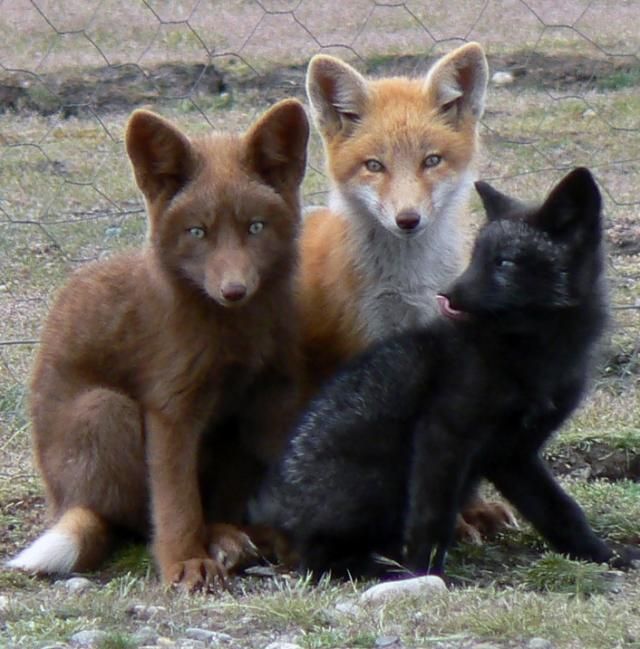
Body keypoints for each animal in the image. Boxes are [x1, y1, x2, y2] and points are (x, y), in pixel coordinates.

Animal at [7, 99, 309, 591]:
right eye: (197, 232)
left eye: (255, 227)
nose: (234, 290)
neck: (231, 334)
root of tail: (65, 503)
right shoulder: (170, 406)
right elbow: (175, 502)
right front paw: (184, 564)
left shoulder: (266, 397)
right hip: (106, 410)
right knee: (131, 522)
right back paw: (216, 543)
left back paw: (236, 537)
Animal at [254, 168, 640, 578]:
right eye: (475, 258)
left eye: (504, 263)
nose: (447, 295)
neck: (535, 356)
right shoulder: (444, 433)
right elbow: (430, 516)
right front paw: (424, 574)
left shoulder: (514, 454)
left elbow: (561, 512)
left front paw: (603, 555)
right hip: (378, 480)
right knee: (315, 561)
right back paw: (378, 568)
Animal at [298, 43, 514, 540]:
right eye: (374, 166)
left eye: (431, 160)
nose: (408, 220)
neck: (410, 287)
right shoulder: (366, 347)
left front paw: (468, 512)